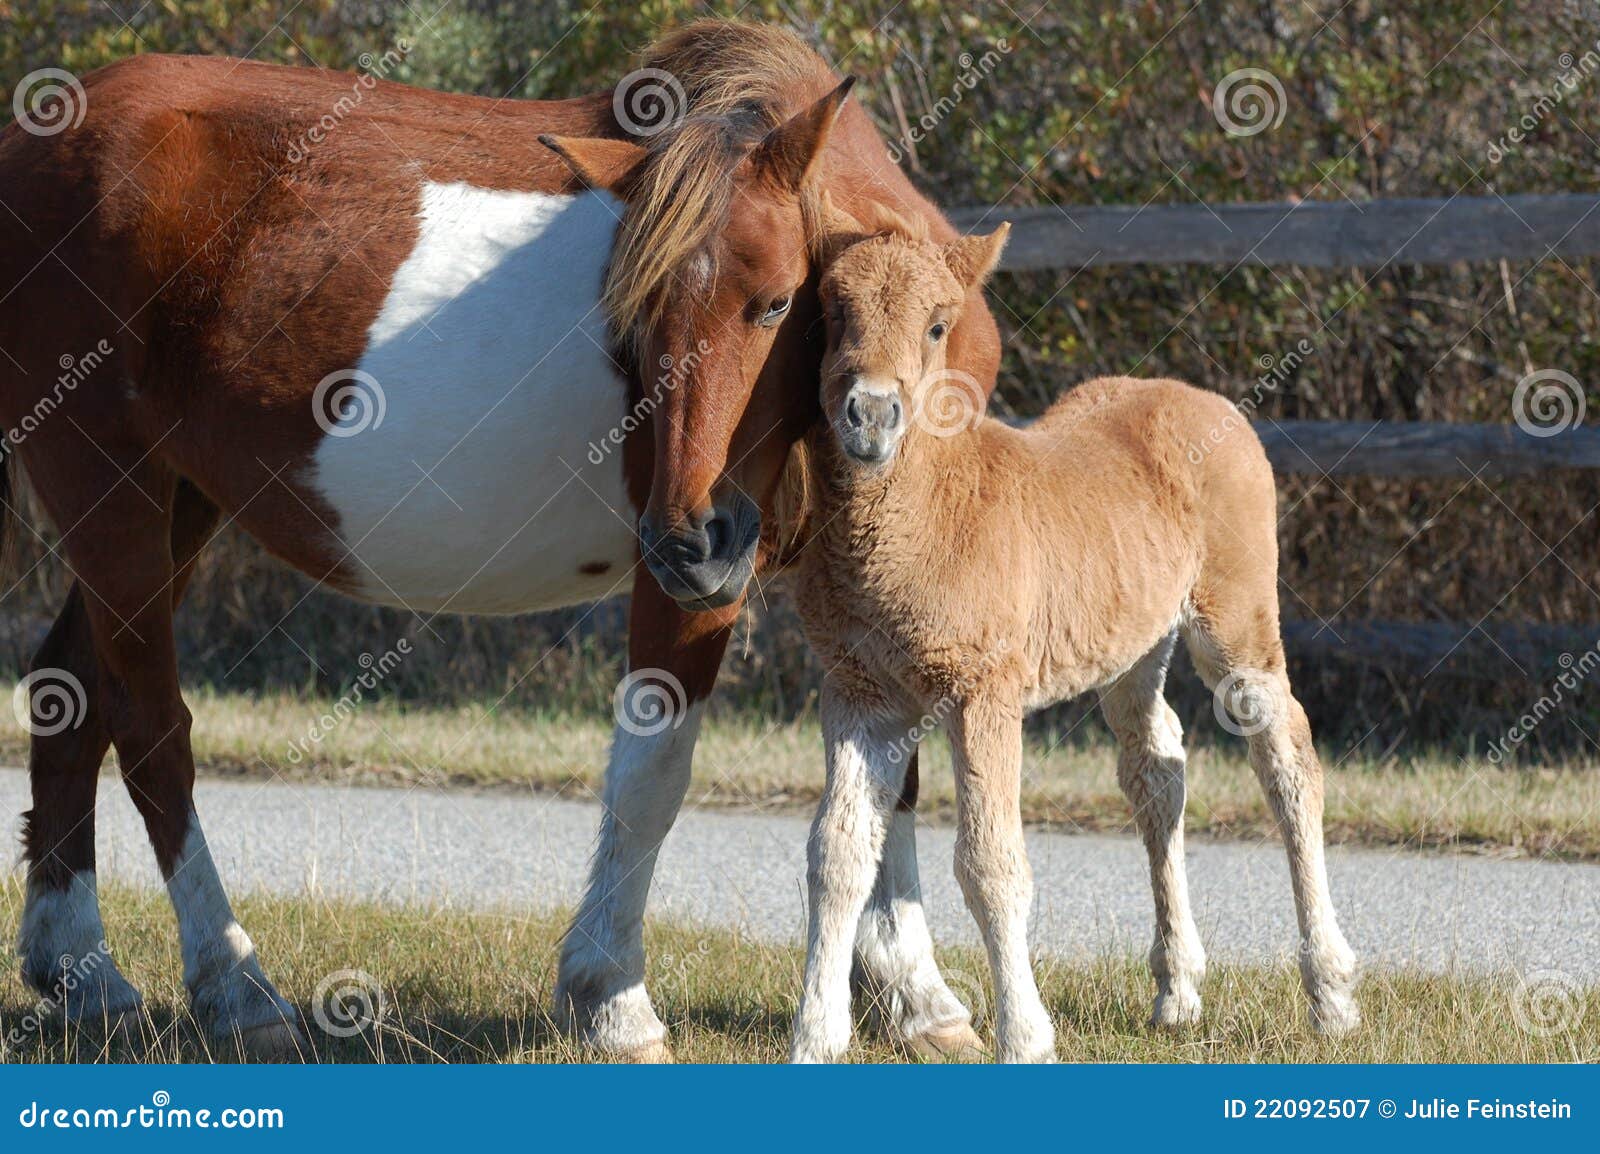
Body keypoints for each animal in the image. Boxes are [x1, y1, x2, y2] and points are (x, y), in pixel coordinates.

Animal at [0, 20, 1000, 1059]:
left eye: (775, 305)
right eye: (632, 319)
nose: (692, 540)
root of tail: (32, 139)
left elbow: (892, 781)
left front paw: (918, 993)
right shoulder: (685, 587)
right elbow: (654, 775)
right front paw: (612, 996)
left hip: (178, 501)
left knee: (71, 692)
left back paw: (82, 973)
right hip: (104, 488)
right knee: (151, 726)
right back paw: (232, 983)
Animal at [784, 213, 1360, 1062]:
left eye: (938, 326)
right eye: (830, 313)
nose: (871, 415)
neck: (924, 515)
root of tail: (1205, 402)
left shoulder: (983, 691)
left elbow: (991, 865)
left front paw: (1025, 1037)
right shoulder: (859, 694)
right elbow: (838, 855)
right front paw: (815, 1038)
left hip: (1235, 616)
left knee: (1286, 755)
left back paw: (1331, 992)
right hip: (1133, 644)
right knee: (1156, 765)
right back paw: (1177, 989)